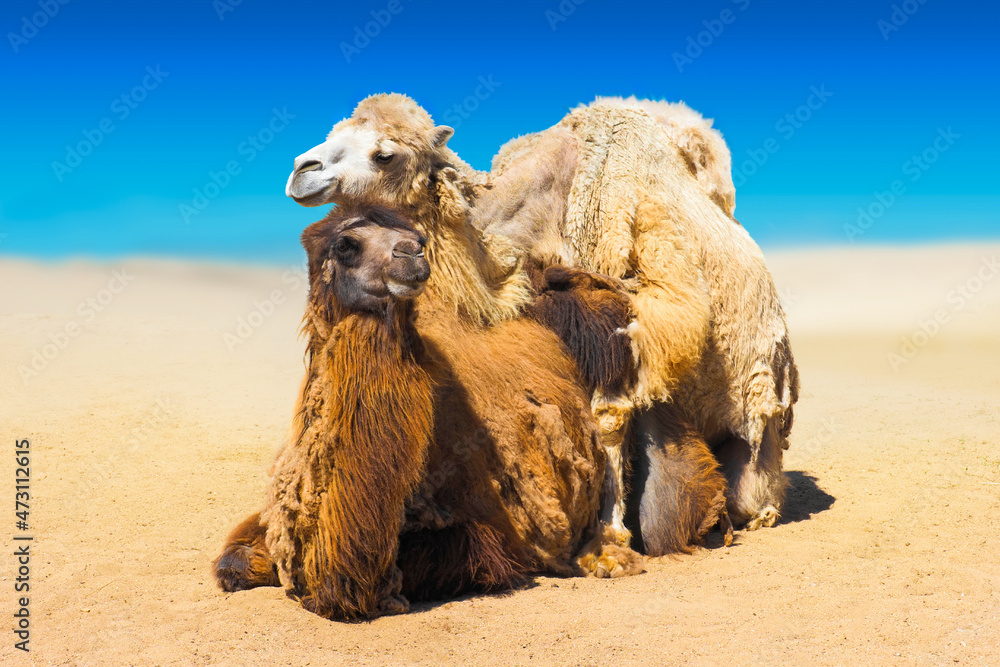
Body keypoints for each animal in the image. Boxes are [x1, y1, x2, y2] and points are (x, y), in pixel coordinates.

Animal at [284, 94, 798, 538]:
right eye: (334, 131)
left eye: (384, 155)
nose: (300, 170)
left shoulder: (619, 321)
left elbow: (609, 418)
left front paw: (609, 535)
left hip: (763, 399)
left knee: (754, 471)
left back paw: (755, 511)